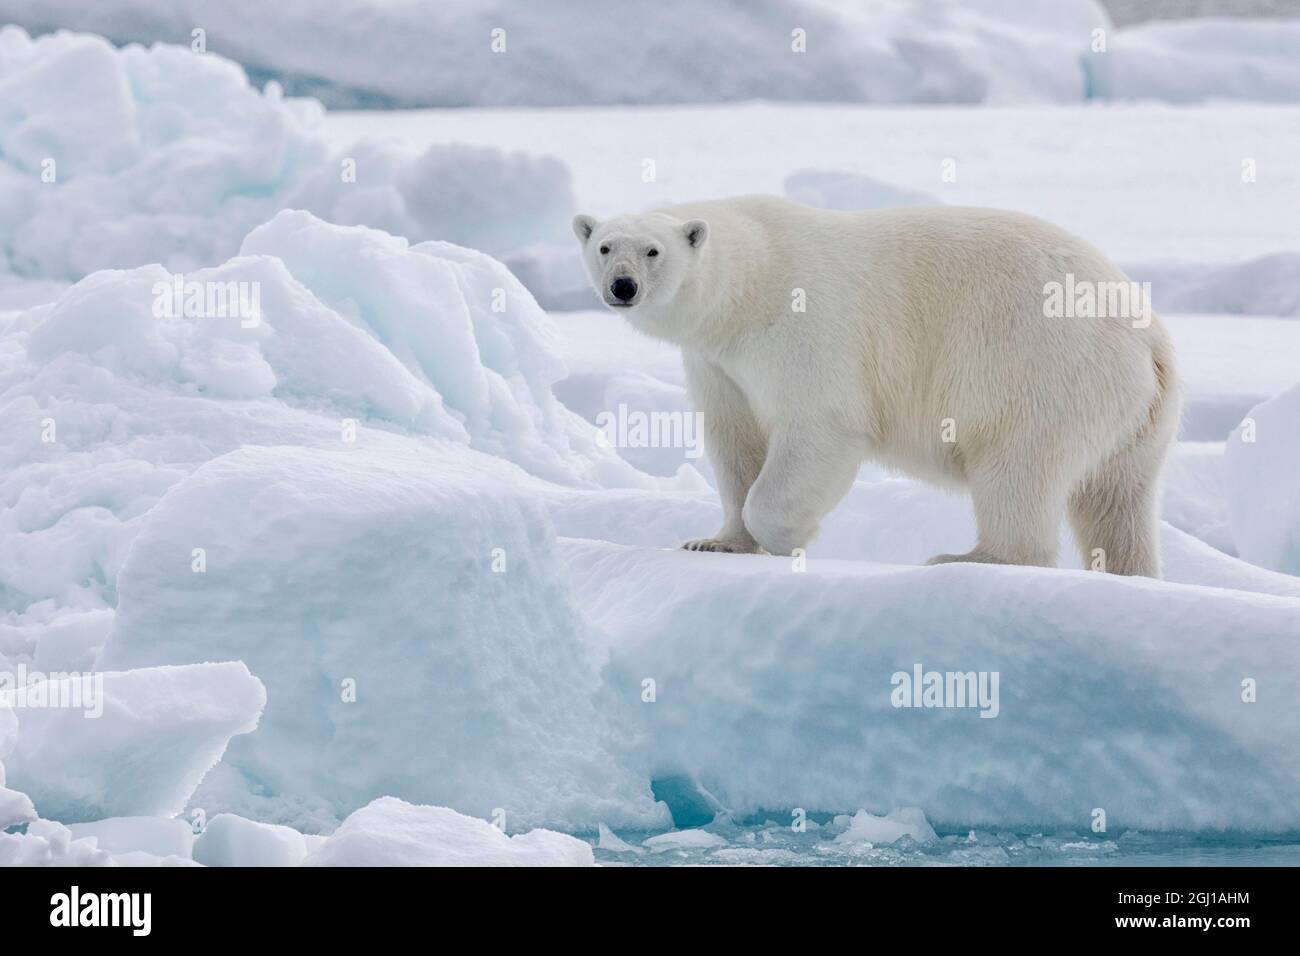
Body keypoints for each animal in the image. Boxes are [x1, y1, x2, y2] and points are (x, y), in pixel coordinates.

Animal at [572, 196, 1180, 576]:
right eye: (604, 246)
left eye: (652, 251)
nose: (622, 286)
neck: (751, 282)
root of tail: (1150, 340)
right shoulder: (717, 362)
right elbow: (734, 441)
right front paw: (717, 540)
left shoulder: (804, 327)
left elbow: (819, 428)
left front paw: (791, 538)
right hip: (1136, 418)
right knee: (1116, 499)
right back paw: (1130, 571)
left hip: (1038, 367)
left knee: (1019, 466)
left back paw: (973, 558)